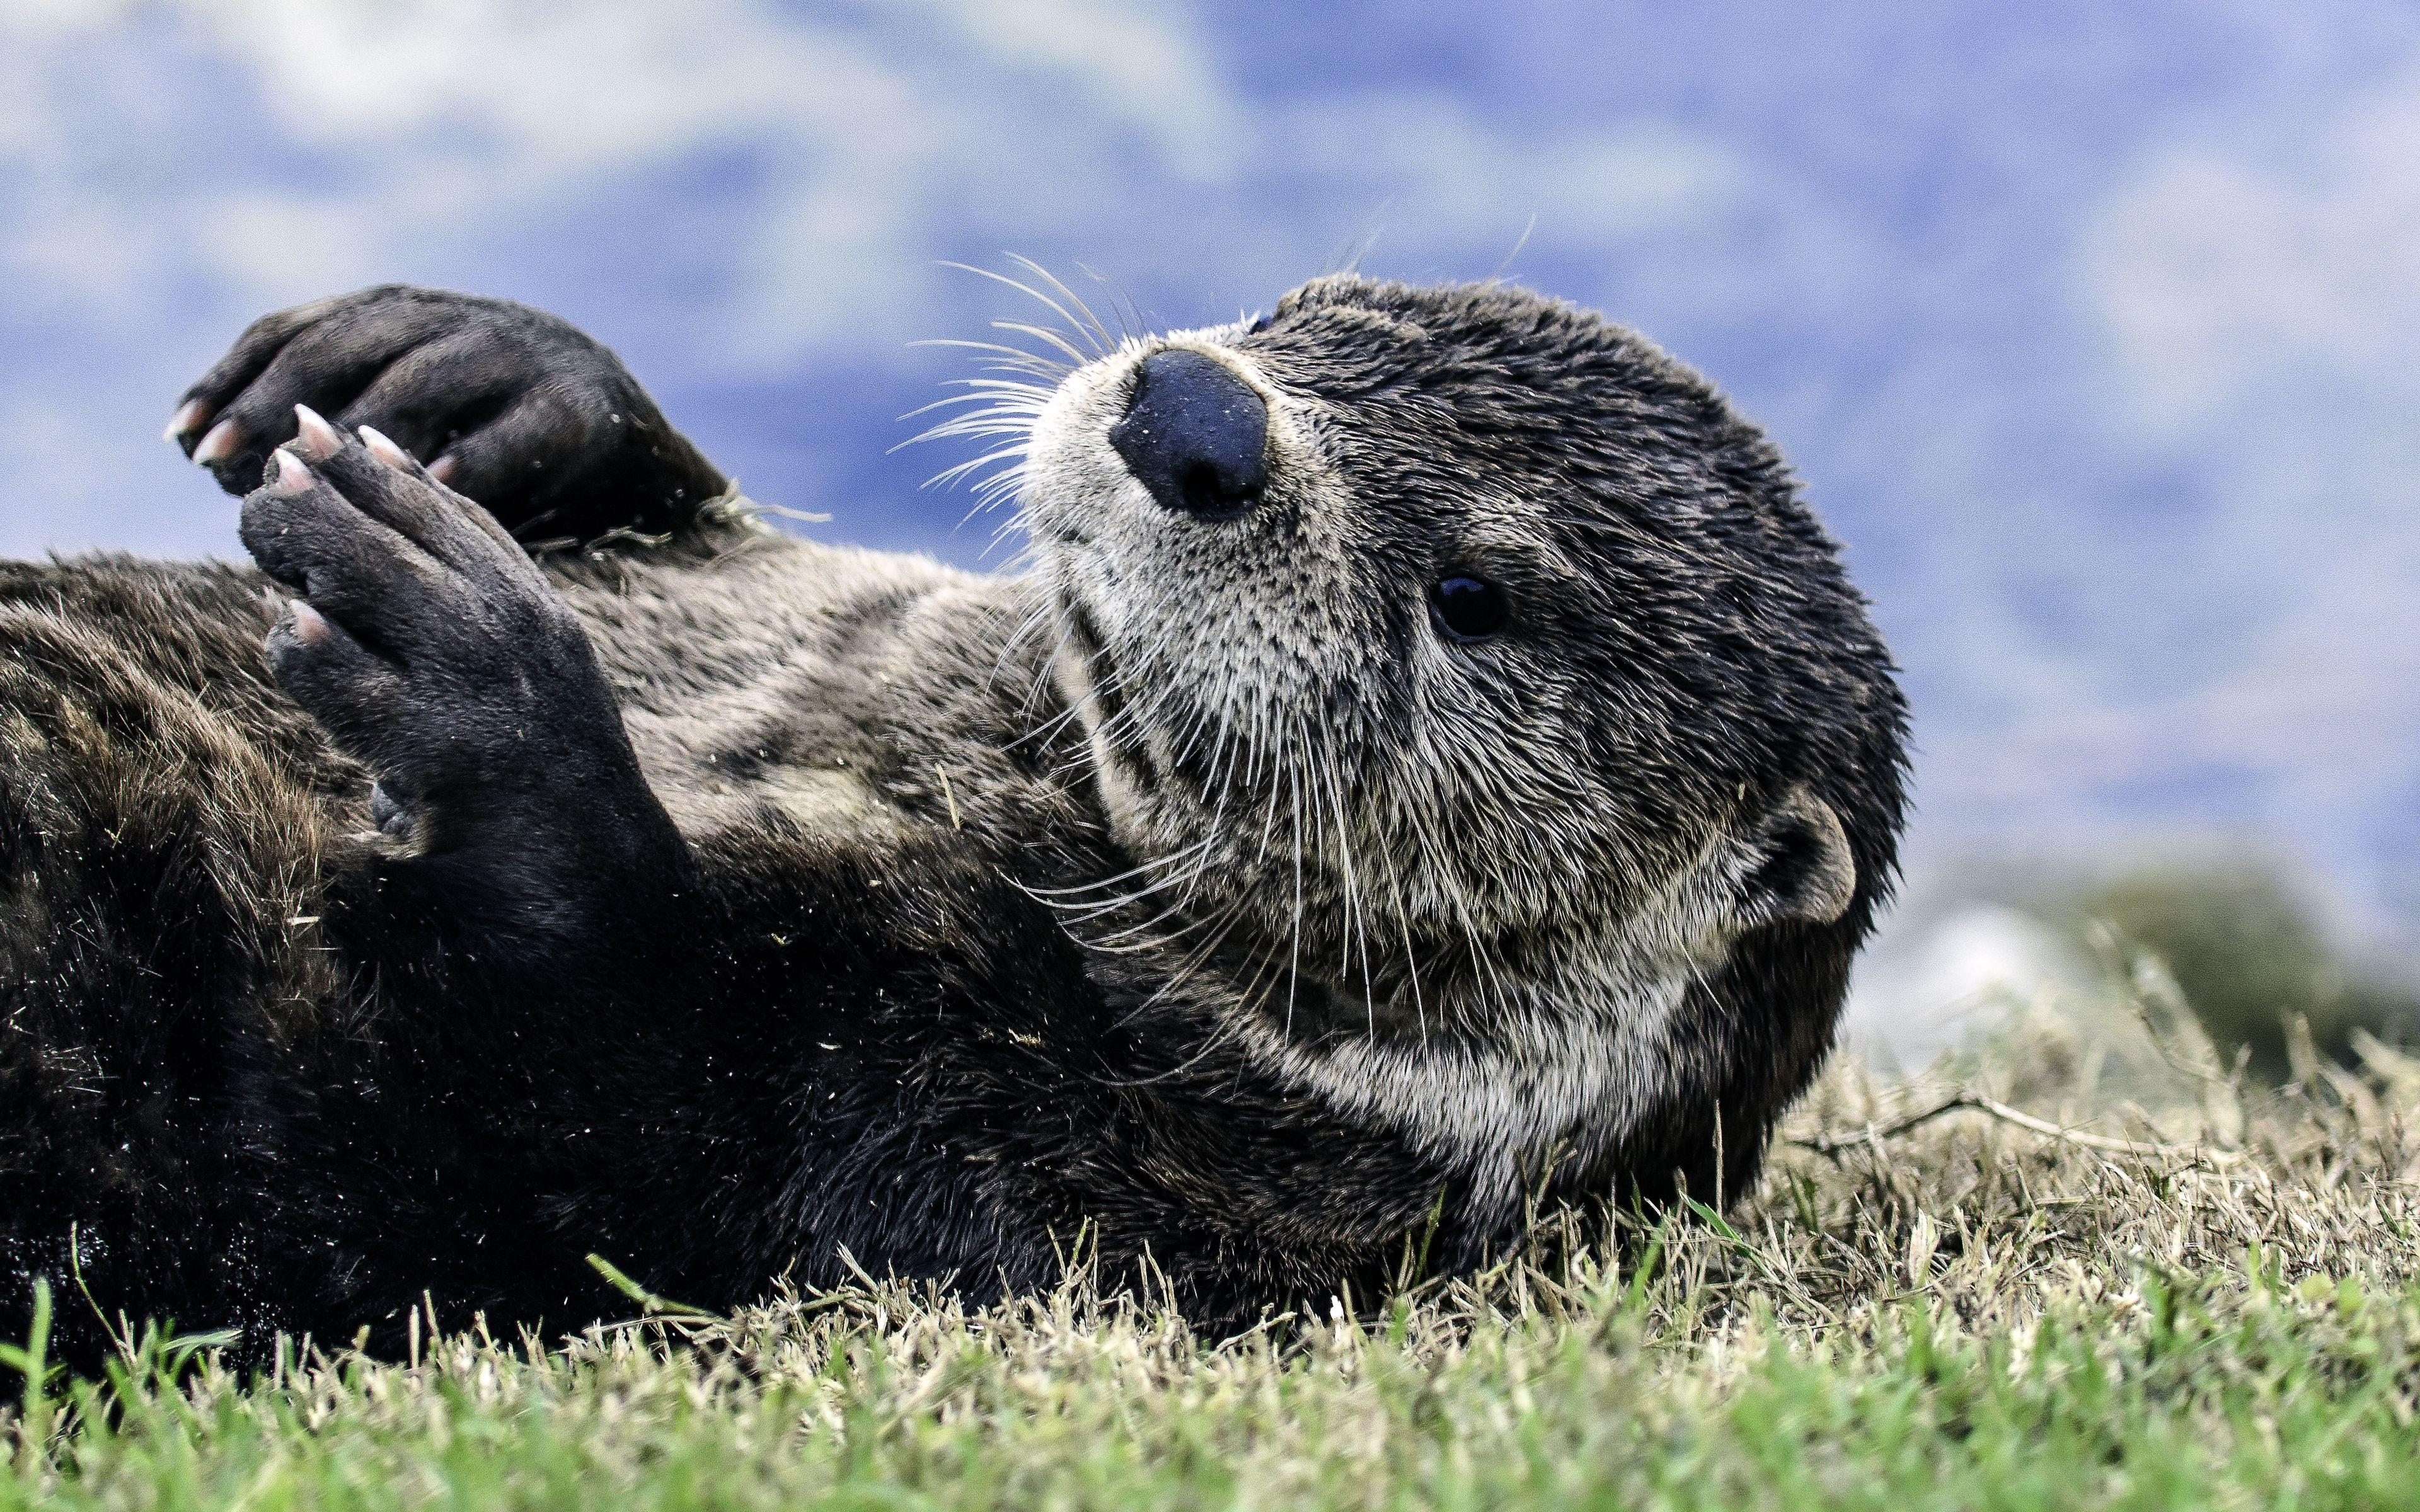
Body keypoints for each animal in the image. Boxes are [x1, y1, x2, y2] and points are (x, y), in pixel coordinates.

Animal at [0, 277, 1907, 1368]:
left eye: (1474, 595)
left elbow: (615, 1098)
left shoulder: (1051, 1191)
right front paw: (471, 365)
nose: (1192, 408)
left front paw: (478, 661)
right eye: (1315, 312)